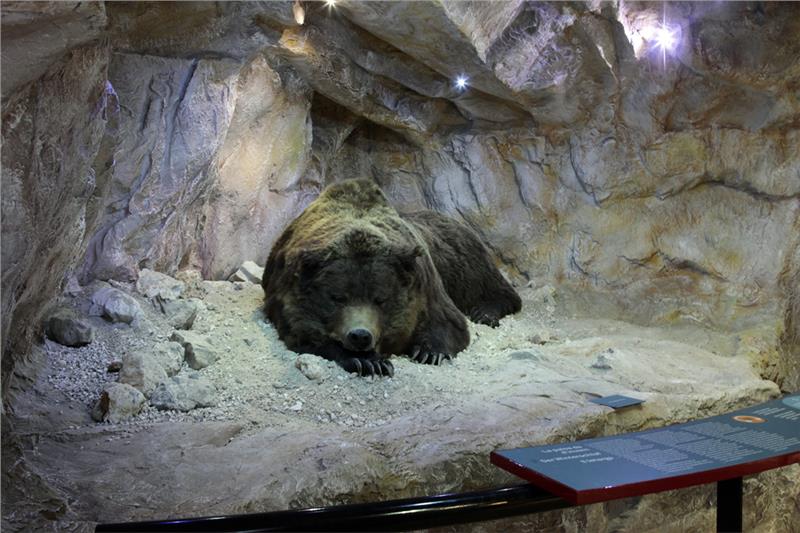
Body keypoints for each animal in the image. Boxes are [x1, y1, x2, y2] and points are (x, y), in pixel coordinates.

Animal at [262, 179, 521, 377]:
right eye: (338, 297)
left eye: (380, 298)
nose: (360, 335)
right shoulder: (285, 288)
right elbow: (302, 331)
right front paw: (368, 362)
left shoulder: (425, 288)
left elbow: (449, 321)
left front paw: (428, 352)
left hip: (459, 252)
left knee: (486, 284)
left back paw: (485, 312)